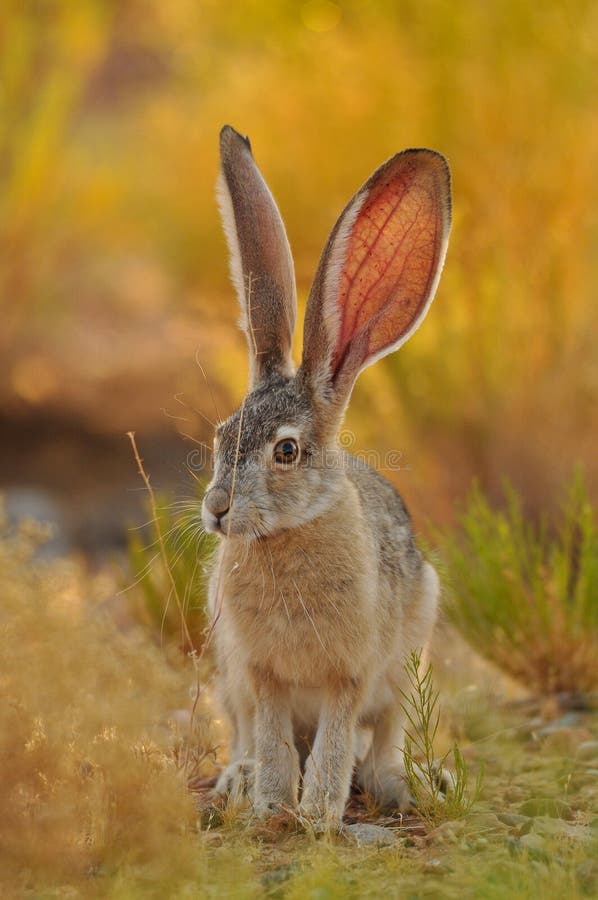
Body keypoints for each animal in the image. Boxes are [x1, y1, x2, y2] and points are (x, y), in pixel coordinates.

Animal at [201, 125, 451, 822]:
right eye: (221, 436)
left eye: (286, 452)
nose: (217, 509)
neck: (287, 535)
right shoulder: (260, 674)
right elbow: (273, 735)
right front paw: (270, 806)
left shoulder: (351, 674)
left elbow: (338, 742)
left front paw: (315, 815)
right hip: (226, 674)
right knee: (243, 731)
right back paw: (236, 781)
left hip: (410, 655)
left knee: (385, 737)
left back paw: (398, 785)